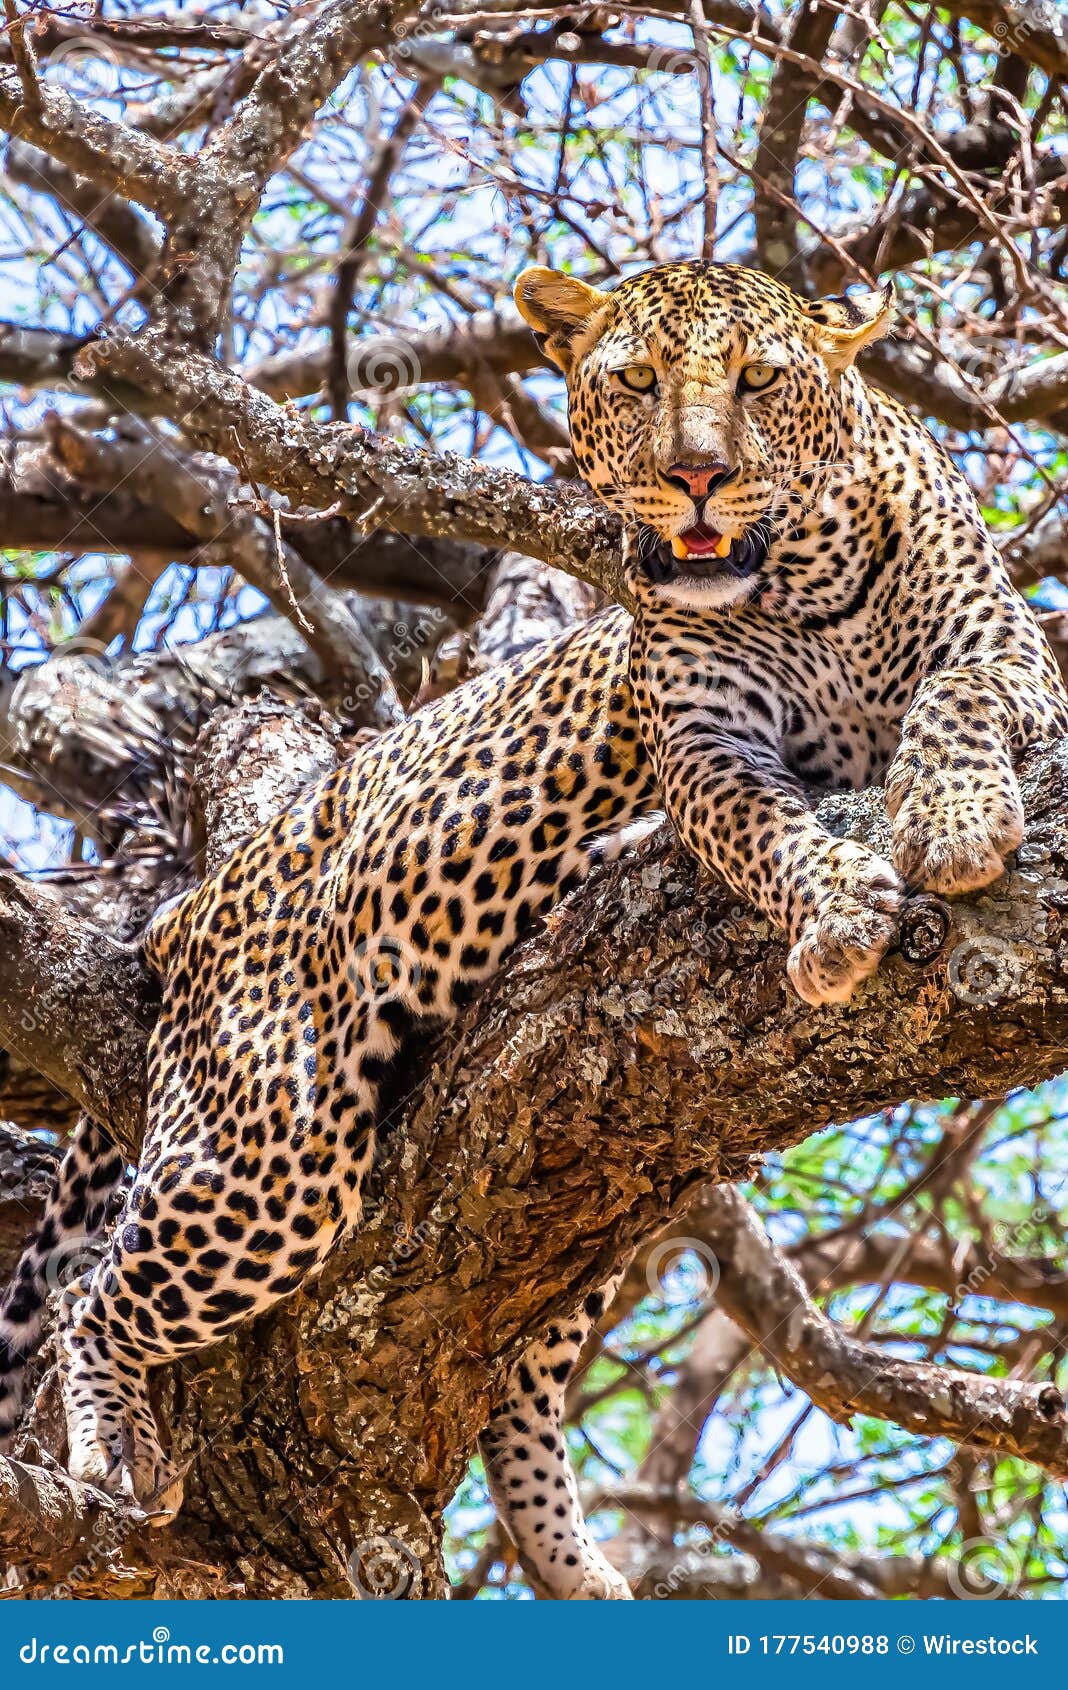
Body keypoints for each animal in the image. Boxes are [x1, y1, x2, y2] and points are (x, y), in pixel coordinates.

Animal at [1, 260, 1064, 1601]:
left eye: (760, 380)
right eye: (637, 382)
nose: (698, 475)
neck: (812, 582)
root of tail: (195, 900)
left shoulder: (1014, 659)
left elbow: (957, 695)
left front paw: (961, 817)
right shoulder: (703, 742)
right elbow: (759, 828)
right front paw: (839, 909)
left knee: (522, 1359)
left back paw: (573, 1565)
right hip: (269, 1145)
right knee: (91, 1293)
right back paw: (113, 1446)